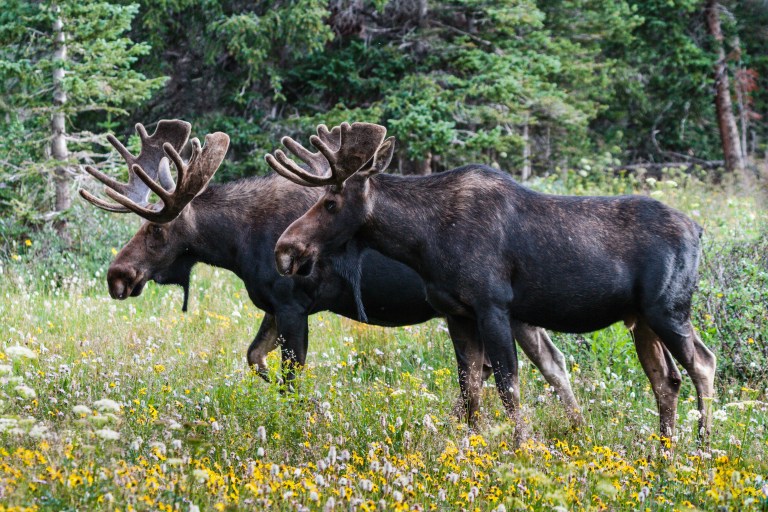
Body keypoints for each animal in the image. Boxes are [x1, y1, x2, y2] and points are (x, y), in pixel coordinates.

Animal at [79, 120, 584, 427]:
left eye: (155, 229)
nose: (117, 275)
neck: (237, 243)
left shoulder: (291, 303)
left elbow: (289, 378)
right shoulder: (273, 307)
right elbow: (253, 357)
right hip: (516, 310)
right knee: (554, 363)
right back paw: (576, 431)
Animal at [267, 121, 717, 443]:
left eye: (330, 202)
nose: (284, 249)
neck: (421, 242)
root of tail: (699, 229)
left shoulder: (493, 305)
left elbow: (507, 387)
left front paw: (522, 449)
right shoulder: (457, 313)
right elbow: (470, 392)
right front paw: (472, 449)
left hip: (668, 309)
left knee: (703, 363)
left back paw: (701, 445)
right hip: (641, 318)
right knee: (666, 379)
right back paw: (664, 450)